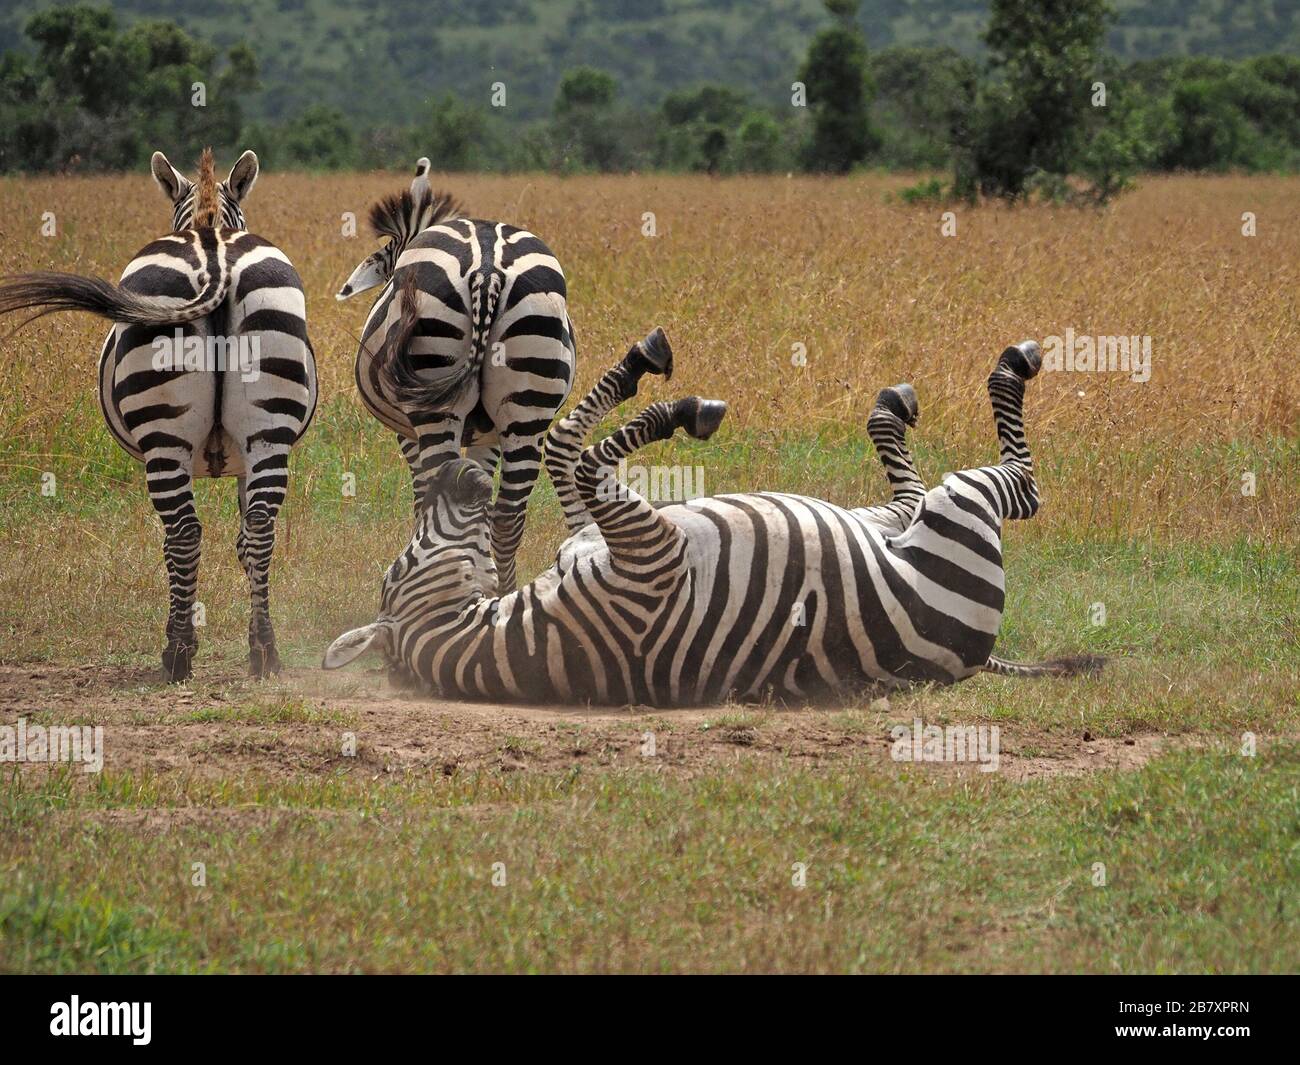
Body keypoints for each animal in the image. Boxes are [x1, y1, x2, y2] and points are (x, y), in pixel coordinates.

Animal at [0, 148, 318, 682]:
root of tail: (213, 253)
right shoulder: (245, 460)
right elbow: (243, 543)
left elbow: (175, 546)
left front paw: (183, 641)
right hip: (269, 429)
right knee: (260, 527)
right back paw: (265, 653)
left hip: (164, 434)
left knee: (184, 533)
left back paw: (177, 654)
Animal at [323, 331, 1098, 705]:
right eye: (406, 560)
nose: (459, 472)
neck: (519, 627)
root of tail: (974, 657)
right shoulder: (651, 552)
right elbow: (582, 459)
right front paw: (680, 411)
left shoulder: (594, 538)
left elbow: (566, 443)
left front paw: (645, 373)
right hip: (960, 511)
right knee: (1020, 486)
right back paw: (1013, 365)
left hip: (890, 521)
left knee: (904, 491)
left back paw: (892, 404)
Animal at [336, 158, 576, 593]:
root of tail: (487, 267)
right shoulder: (489, 435)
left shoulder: (407, 433)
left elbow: (424, 502)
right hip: (529, 405)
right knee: (508, 517)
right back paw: (502, 591)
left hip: (435, 406)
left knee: (443, 499)